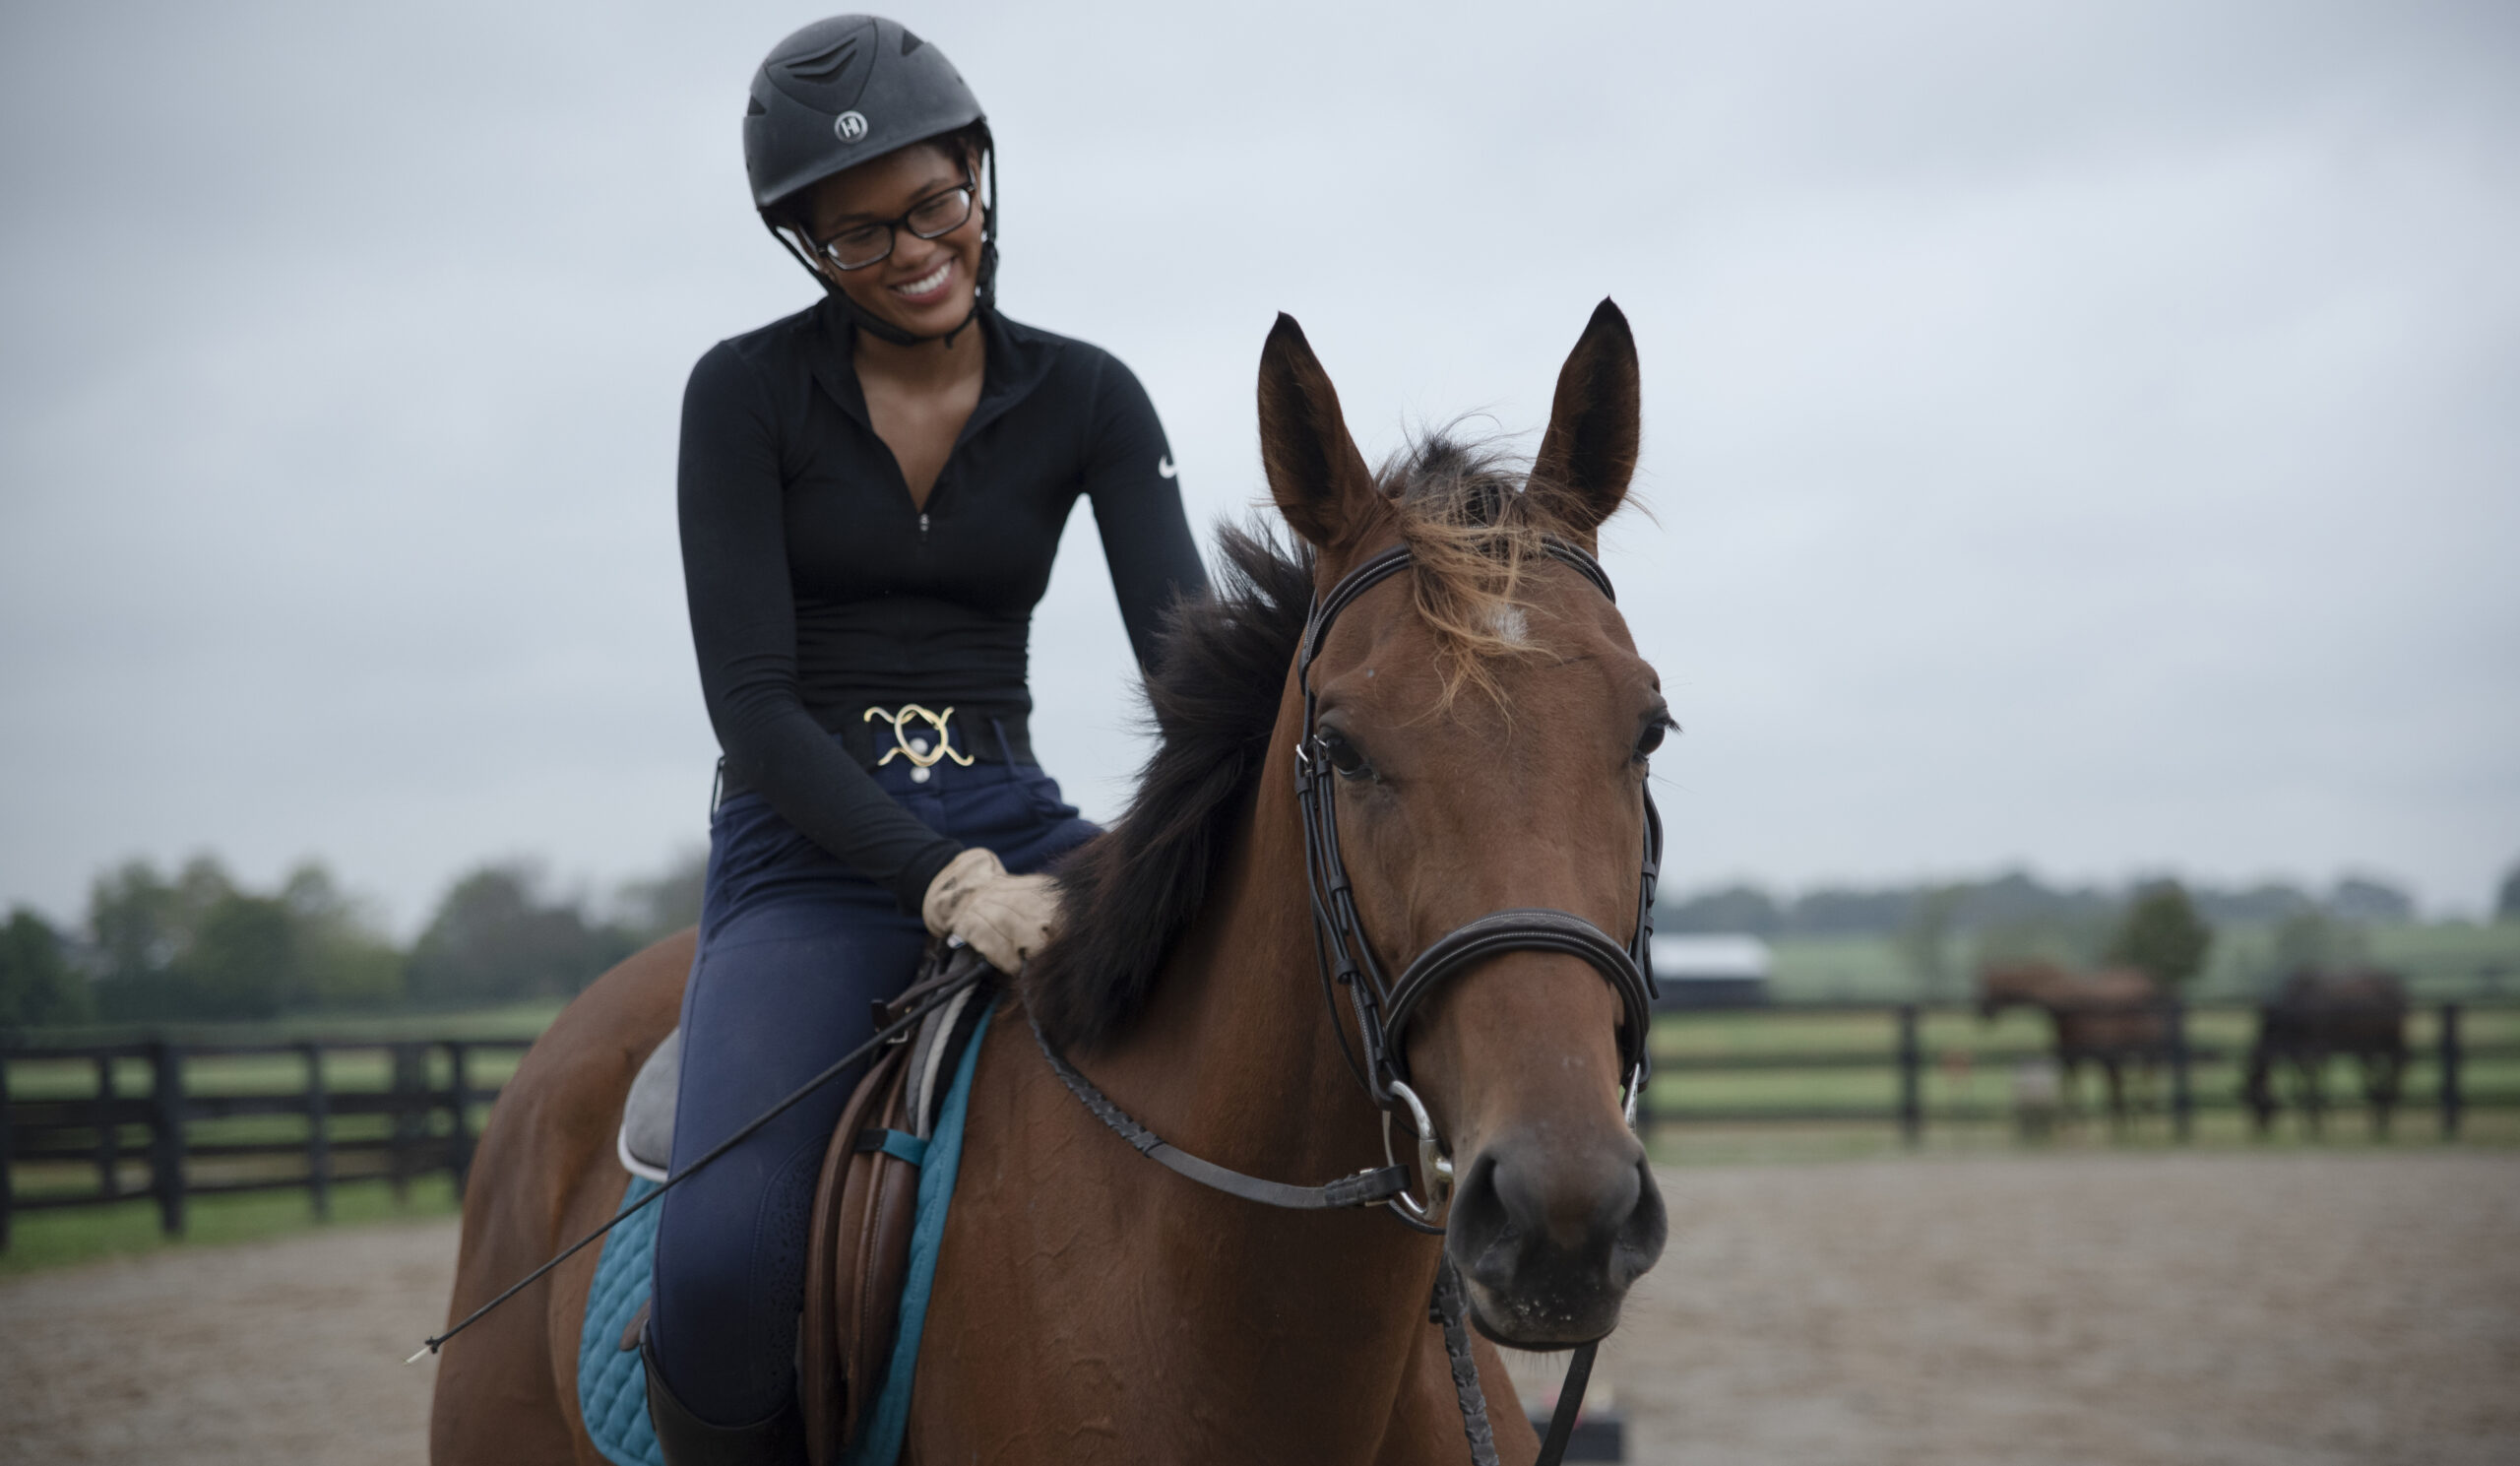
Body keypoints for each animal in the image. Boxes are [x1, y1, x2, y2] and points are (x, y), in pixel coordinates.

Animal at [1976, 960, 2165, 1128]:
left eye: (1992, 986)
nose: (1983, 1011)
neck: (2067, 1010)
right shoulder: (2070, 1059)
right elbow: (2071, 1087)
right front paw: (2072, 1121)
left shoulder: (2104, 1059)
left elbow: (2106, 1090)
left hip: (2145, 1053)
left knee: (2146, 1078)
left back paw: (2147, 1113)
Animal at [2242, 969, 2409, 1138]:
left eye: (2253, 1095)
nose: (2259, 1127)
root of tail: (2398, 990)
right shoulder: (2301, 1055)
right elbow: (2302, 1087)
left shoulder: (2315, 1052)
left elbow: (2314, 1085)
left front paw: (2316, 1123)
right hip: (2373, 1047)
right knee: (2378, 1077)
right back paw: (2380, 1114)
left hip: (2392, 1043)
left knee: (2396, 1070)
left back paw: (2383, 1115)